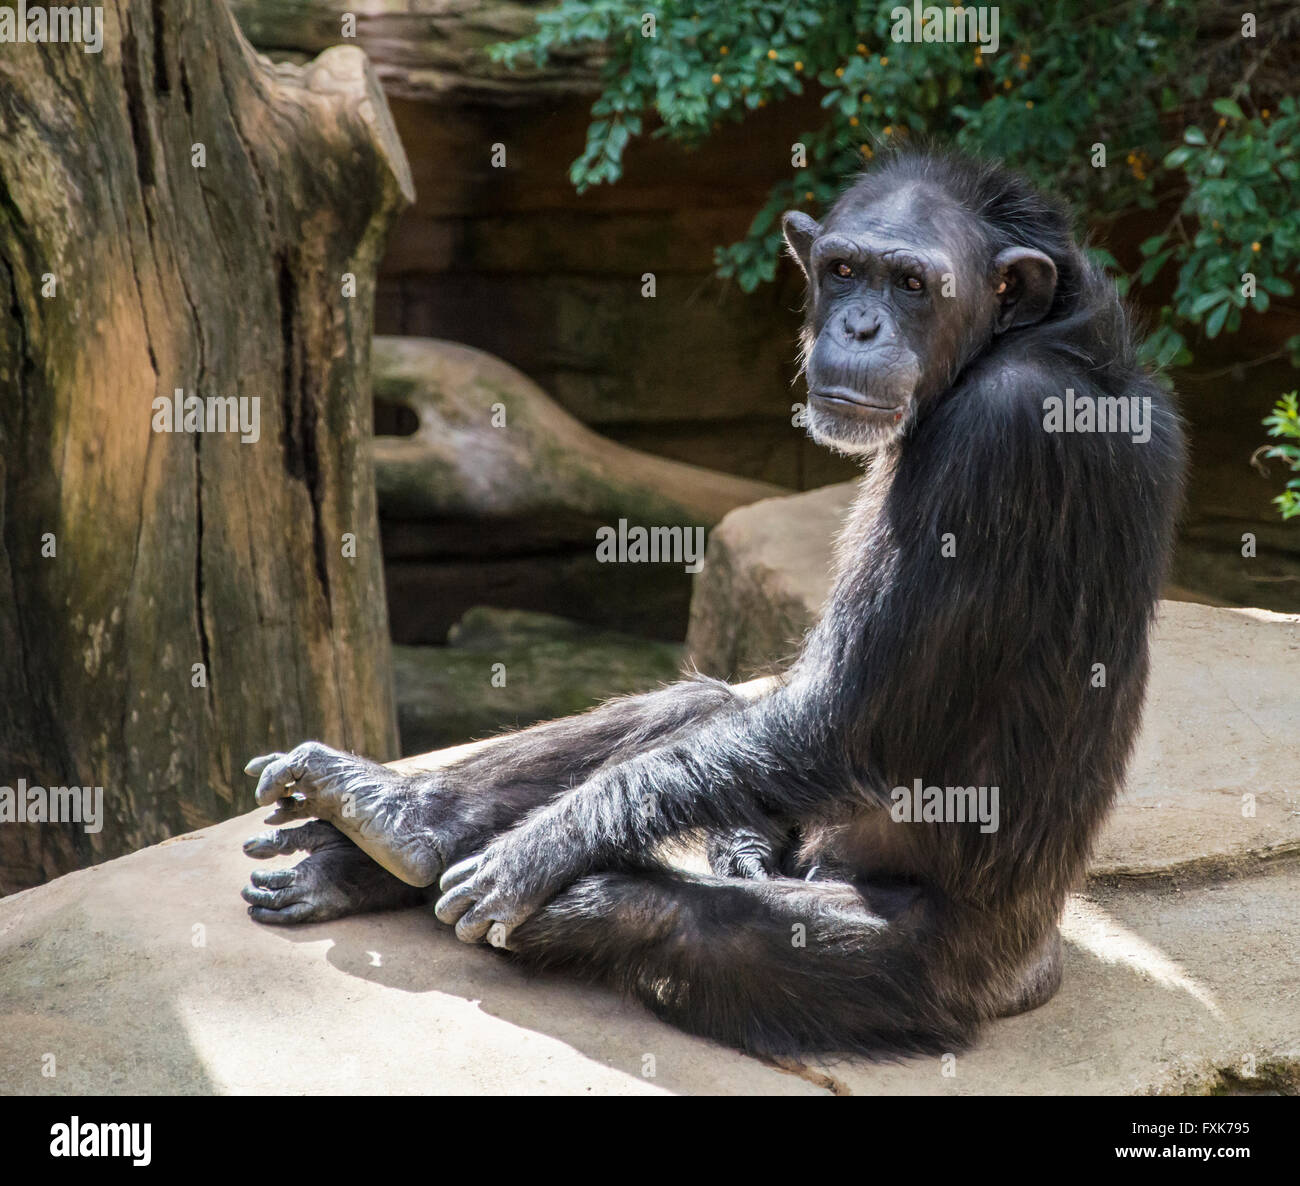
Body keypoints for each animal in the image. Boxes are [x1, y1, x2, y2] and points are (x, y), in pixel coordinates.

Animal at [241, 149, 1185, 1059]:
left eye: (913, 284)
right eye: (844, 270)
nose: (860, 325)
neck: (1019, 343)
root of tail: (1036, 976)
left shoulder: (1000, 432)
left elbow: (847, 713)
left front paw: (538, 849)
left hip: (923, 969)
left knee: (648, 911)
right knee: (700, 709)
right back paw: (378, 828)